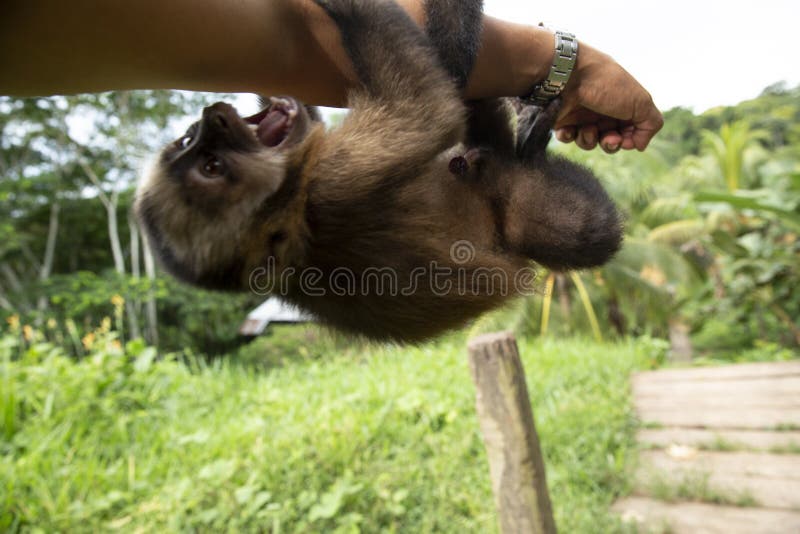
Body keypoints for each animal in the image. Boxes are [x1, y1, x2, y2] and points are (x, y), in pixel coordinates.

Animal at [134, 0, 622, 343]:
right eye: (211, 167)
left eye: (191, 147)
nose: (208, 121)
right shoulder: (331, 182)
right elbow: (433, 101)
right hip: (523, 198)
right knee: (584, 228)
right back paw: (532, 146)